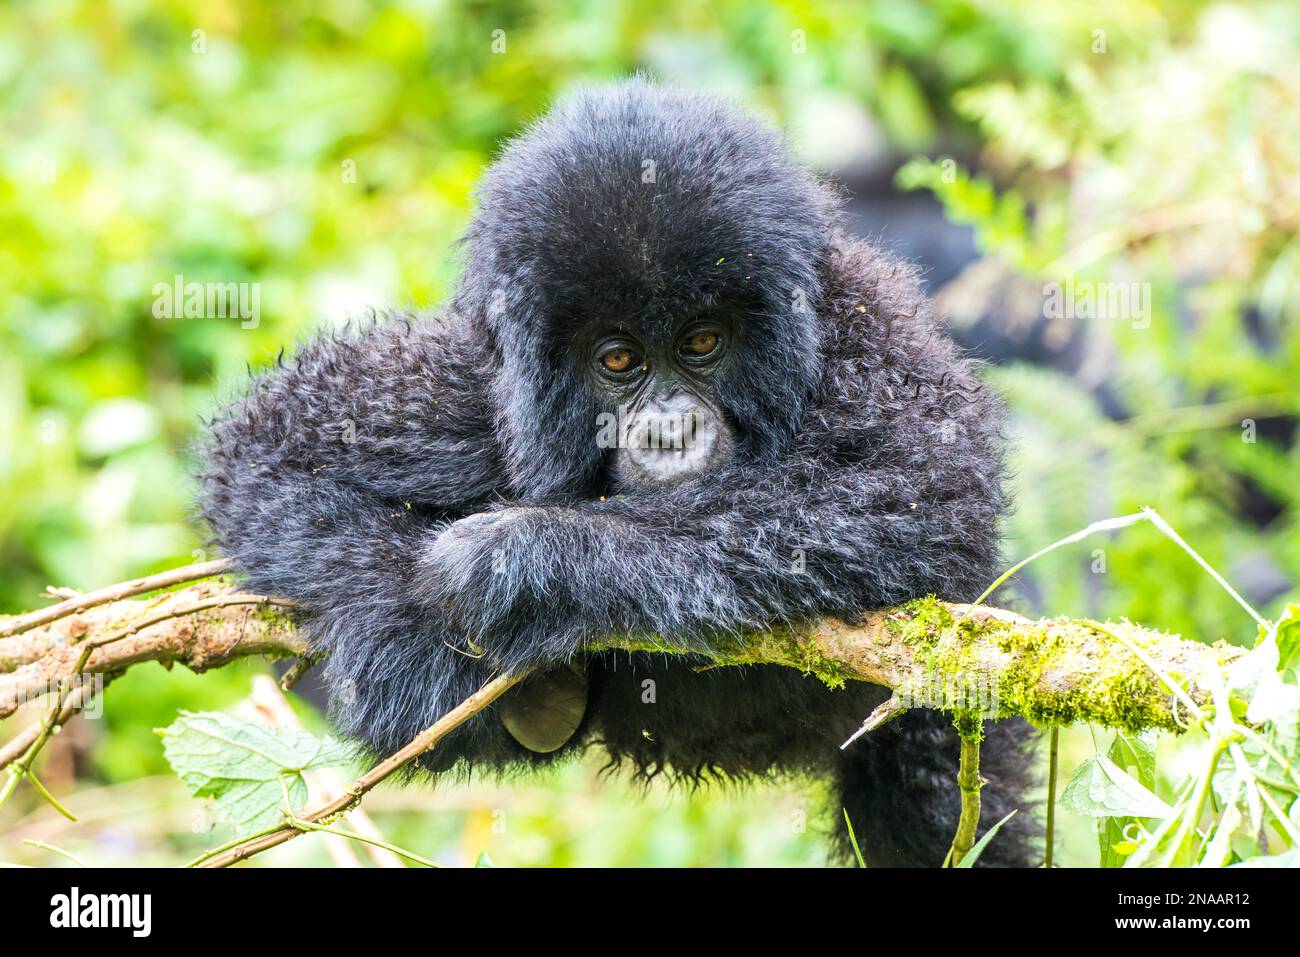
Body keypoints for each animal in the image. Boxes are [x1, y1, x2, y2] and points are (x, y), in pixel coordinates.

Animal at [195, 77, 1039, 866]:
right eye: (618, 360)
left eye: (702, 342)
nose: (668, 428)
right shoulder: (472, 387)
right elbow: (278, 442)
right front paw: (400, 637)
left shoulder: (872, 341)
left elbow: (917, 493)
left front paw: (524, 559)